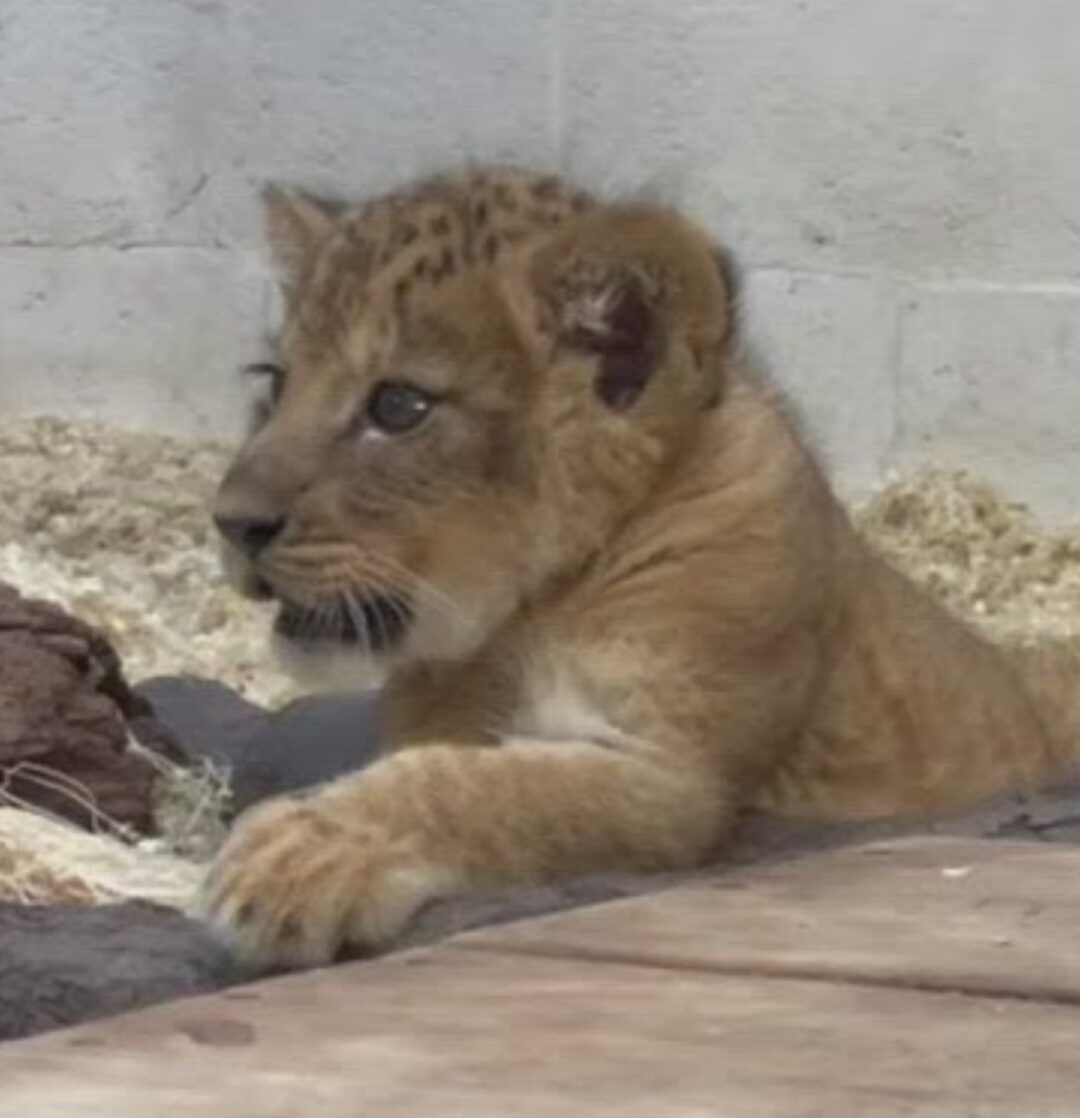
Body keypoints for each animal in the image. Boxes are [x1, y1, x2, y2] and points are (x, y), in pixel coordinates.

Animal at [201, 166, 1080, 970]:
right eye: (275, 384)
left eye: (399, 407)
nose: (231, 523)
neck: (522, 621)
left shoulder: (675, 779)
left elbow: (477, 786)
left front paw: (295, 857)